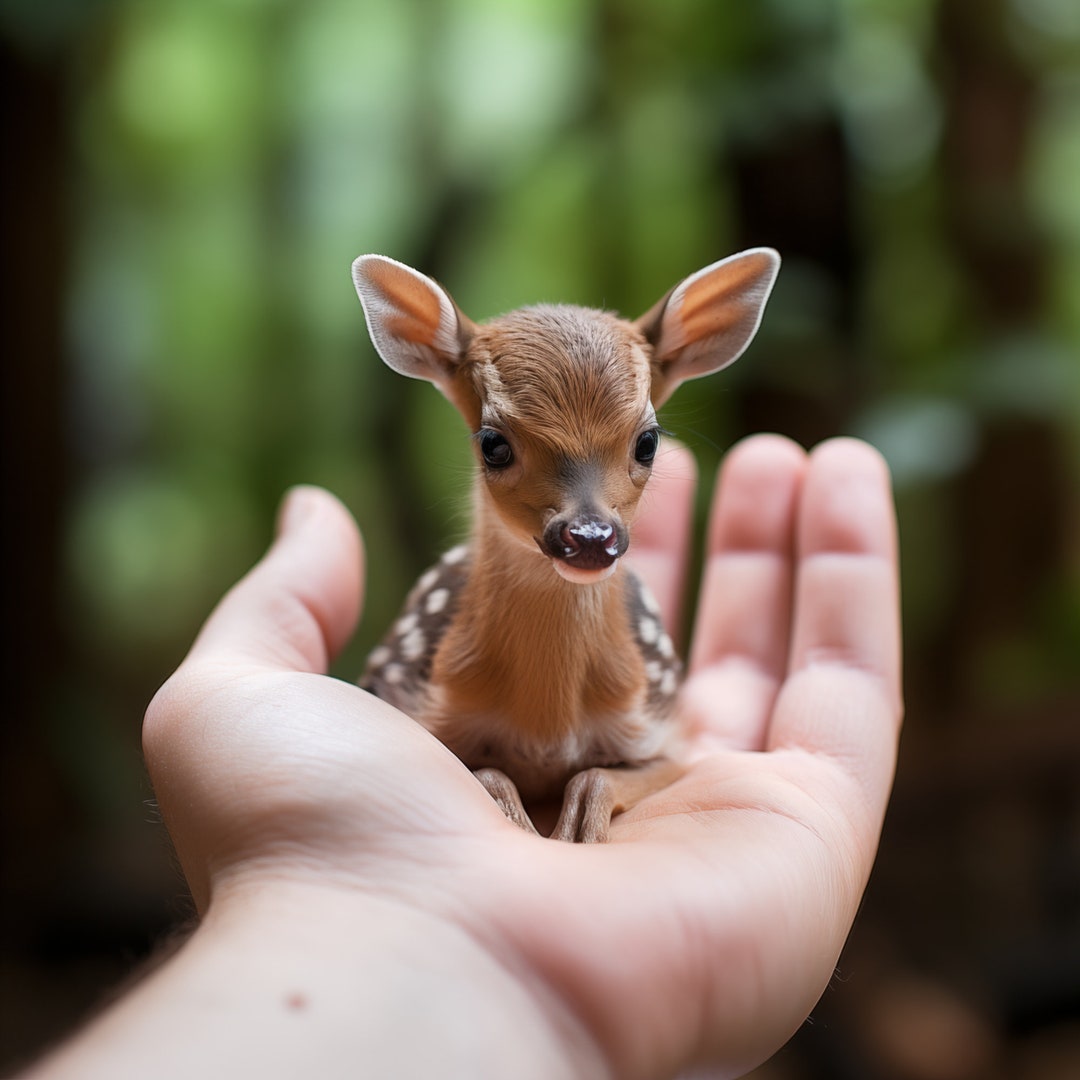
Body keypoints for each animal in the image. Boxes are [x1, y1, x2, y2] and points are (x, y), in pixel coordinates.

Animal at [351, 248, 780, 842]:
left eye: (648, 441)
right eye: (493, 444)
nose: (590, 538)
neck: (547, 724)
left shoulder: (665, 730)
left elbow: (595, 775)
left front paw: (577, 832)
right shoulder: (409, 706)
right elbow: (489, 772)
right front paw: (529, 827)